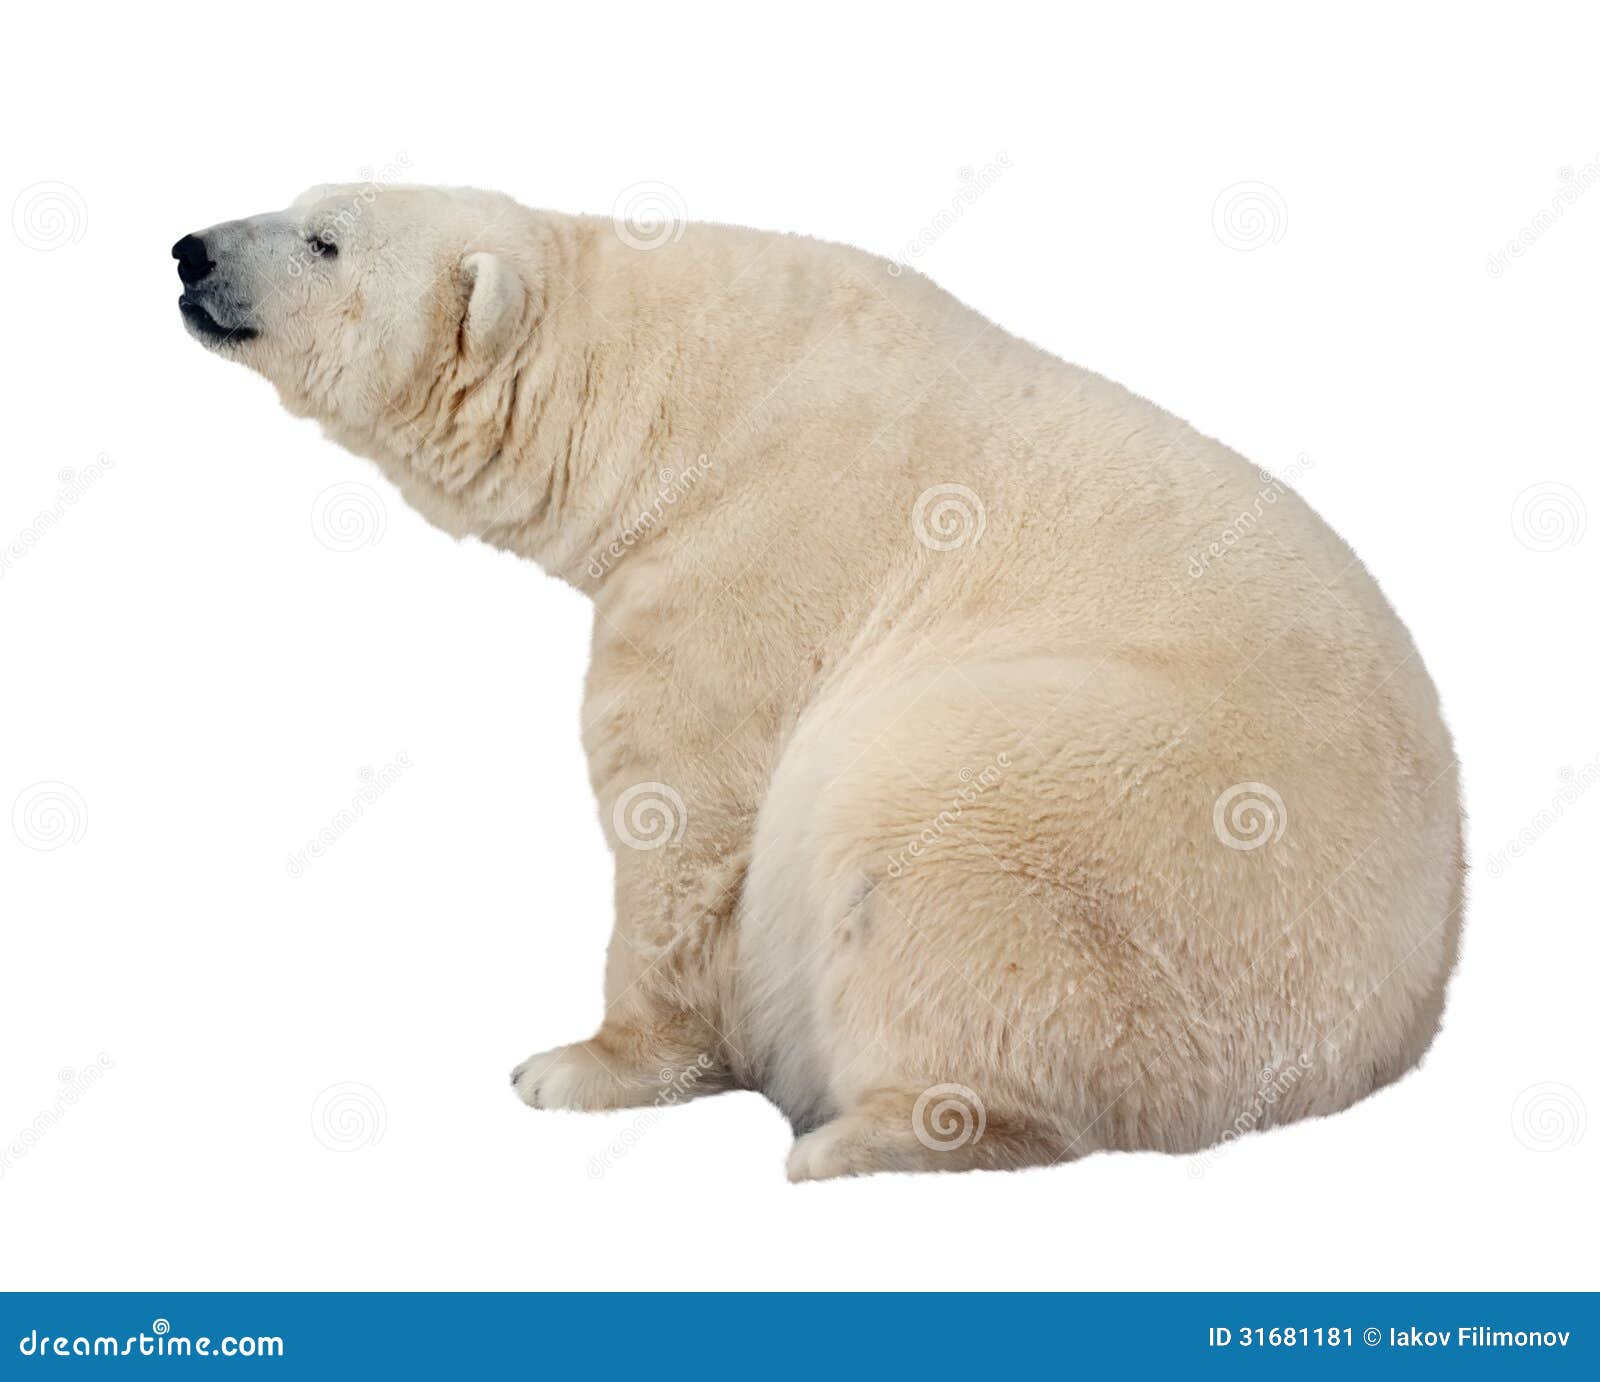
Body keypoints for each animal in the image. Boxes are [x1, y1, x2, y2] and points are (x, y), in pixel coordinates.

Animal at [173, 183, 1463, 1179]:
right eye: (299, 200)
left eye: (324, 238)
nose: (190, 250)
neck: (666, 392)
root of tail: (1386, 1029)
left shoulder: (740, 556)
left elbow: (683, 816)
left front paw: (573, 1065)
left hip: (1142, 827)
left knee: (928, 836)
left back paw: (863, 1135)